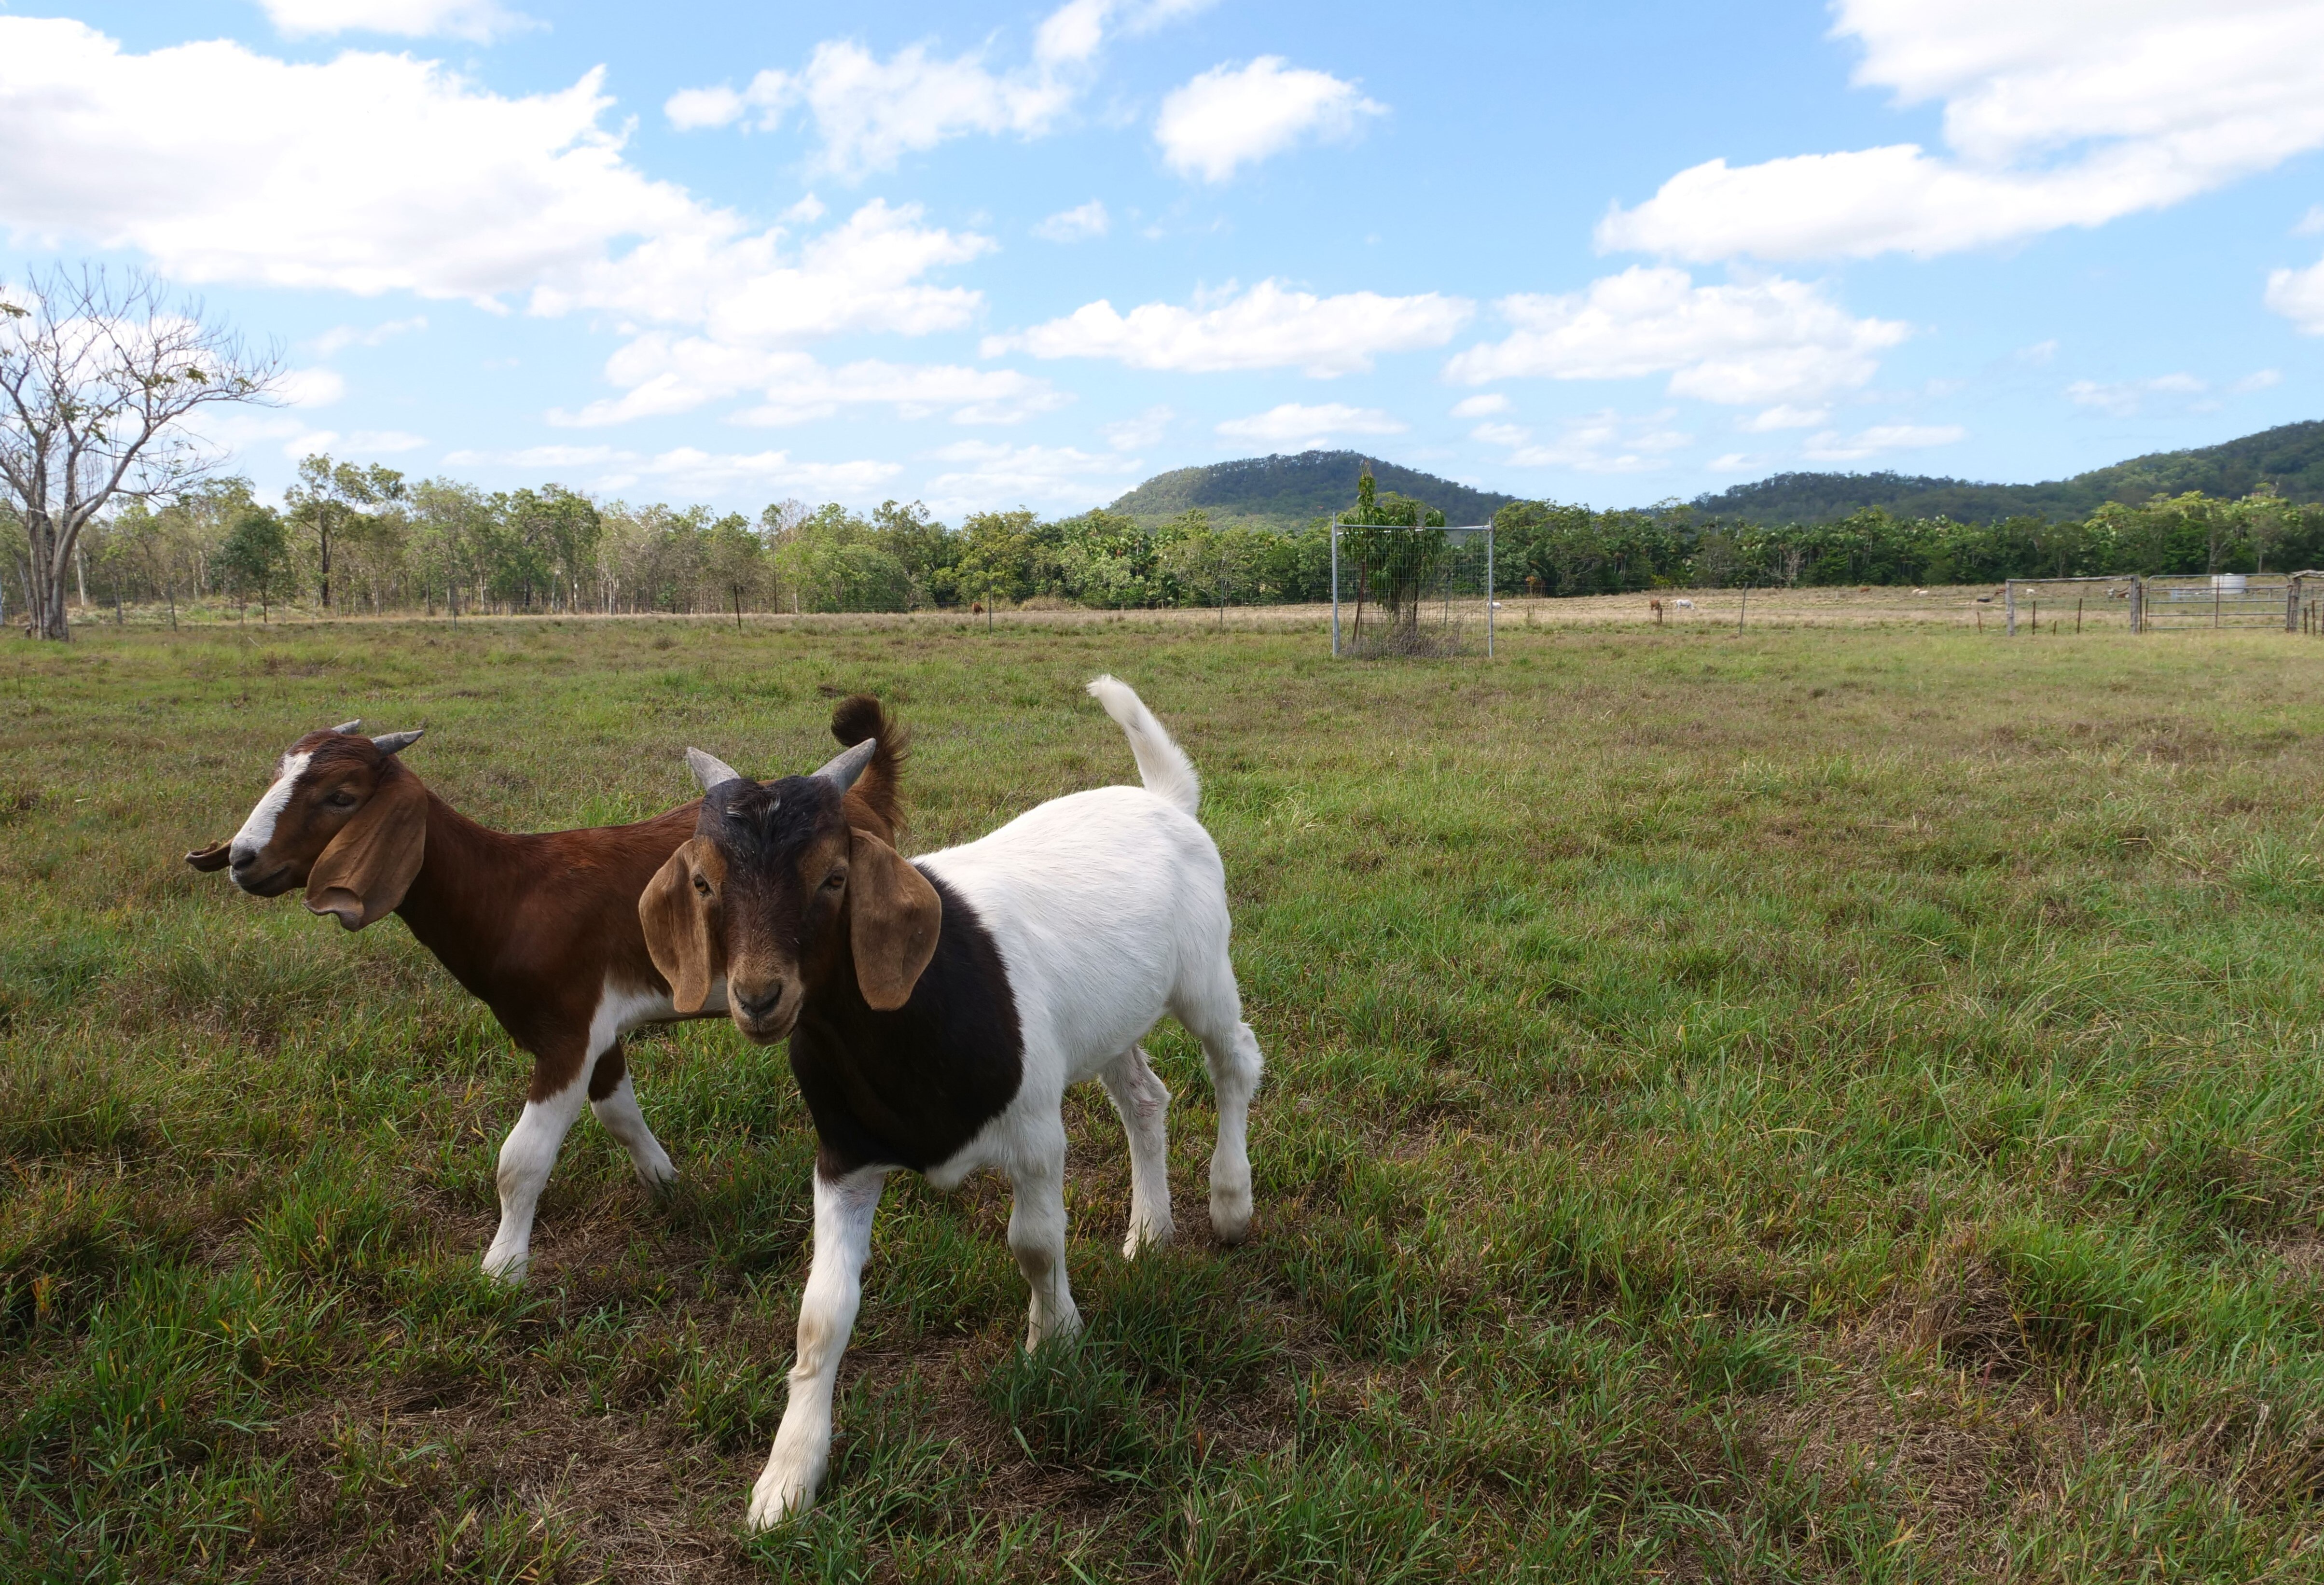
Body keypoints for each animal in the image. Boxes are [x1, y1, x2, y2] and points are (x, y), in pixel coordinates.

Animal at [184, 700, 906, 1282]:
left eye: (341, 795)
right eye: (278, 775)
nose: (244, 859)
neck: (510, 893)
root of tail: (862, 800)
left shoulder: (566, 1030)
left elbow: (521, 1159)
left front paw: (502, 1270)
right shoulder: (597, 1026)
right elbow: (618, 1113)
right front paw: (666, 1184)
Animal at [642, 675, 1264, 1527]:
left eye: (833, 875)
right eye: (704, 881)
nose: (759, 998)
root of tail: (1165, 802)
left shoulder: (1035, 1132)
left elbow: (1033, 1243)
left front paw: (1054, 1344)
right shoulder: (843, 1157)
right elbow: (821, 1313)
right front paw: (787, 1479)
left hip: (1203, 973)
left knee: (1235, 1059)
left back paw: (1230, 1204)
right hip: (1104, 1023)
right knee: (1146, 1099)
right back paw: (1149, 1233)